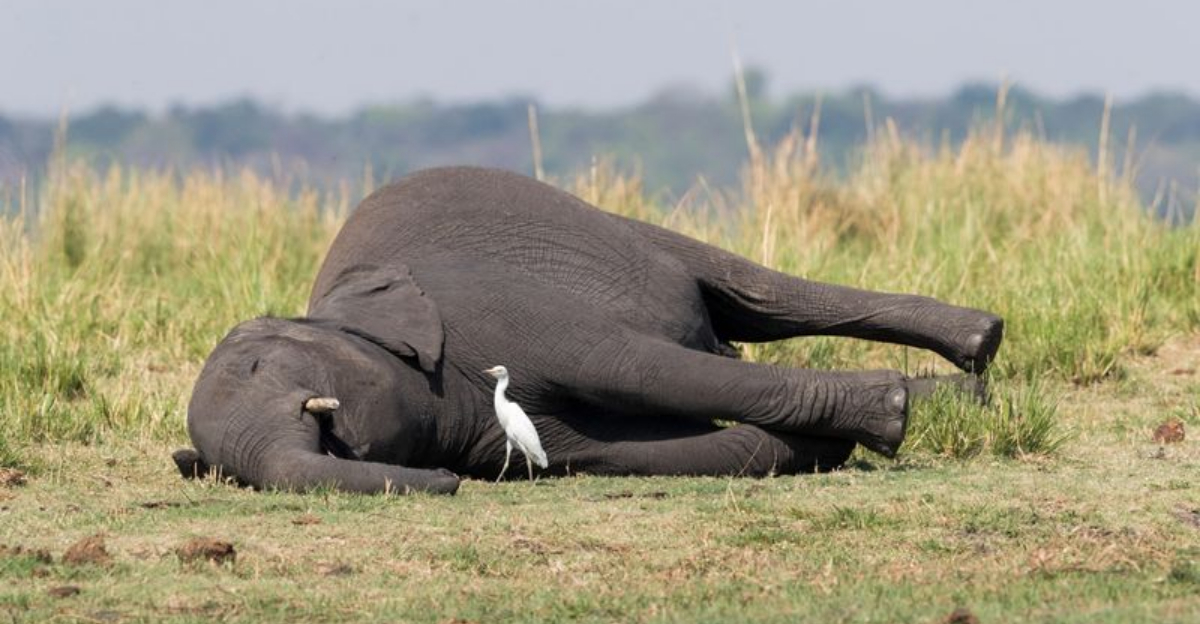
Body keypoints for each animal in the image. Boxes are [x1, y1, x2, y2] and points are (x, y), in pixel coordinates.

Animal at [174, 166, 1003, 495]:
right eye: (222, 470)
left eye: (262, 367)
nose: (445, 482)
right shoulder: (498, 431)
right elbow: (646, 450)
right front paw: (823, 444)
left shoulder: (492, 311)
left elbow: (635, 367)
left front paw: (887, 414)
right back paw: (972, 391)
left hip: (621, 227)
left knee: (752, 293)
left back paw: (981, 345)